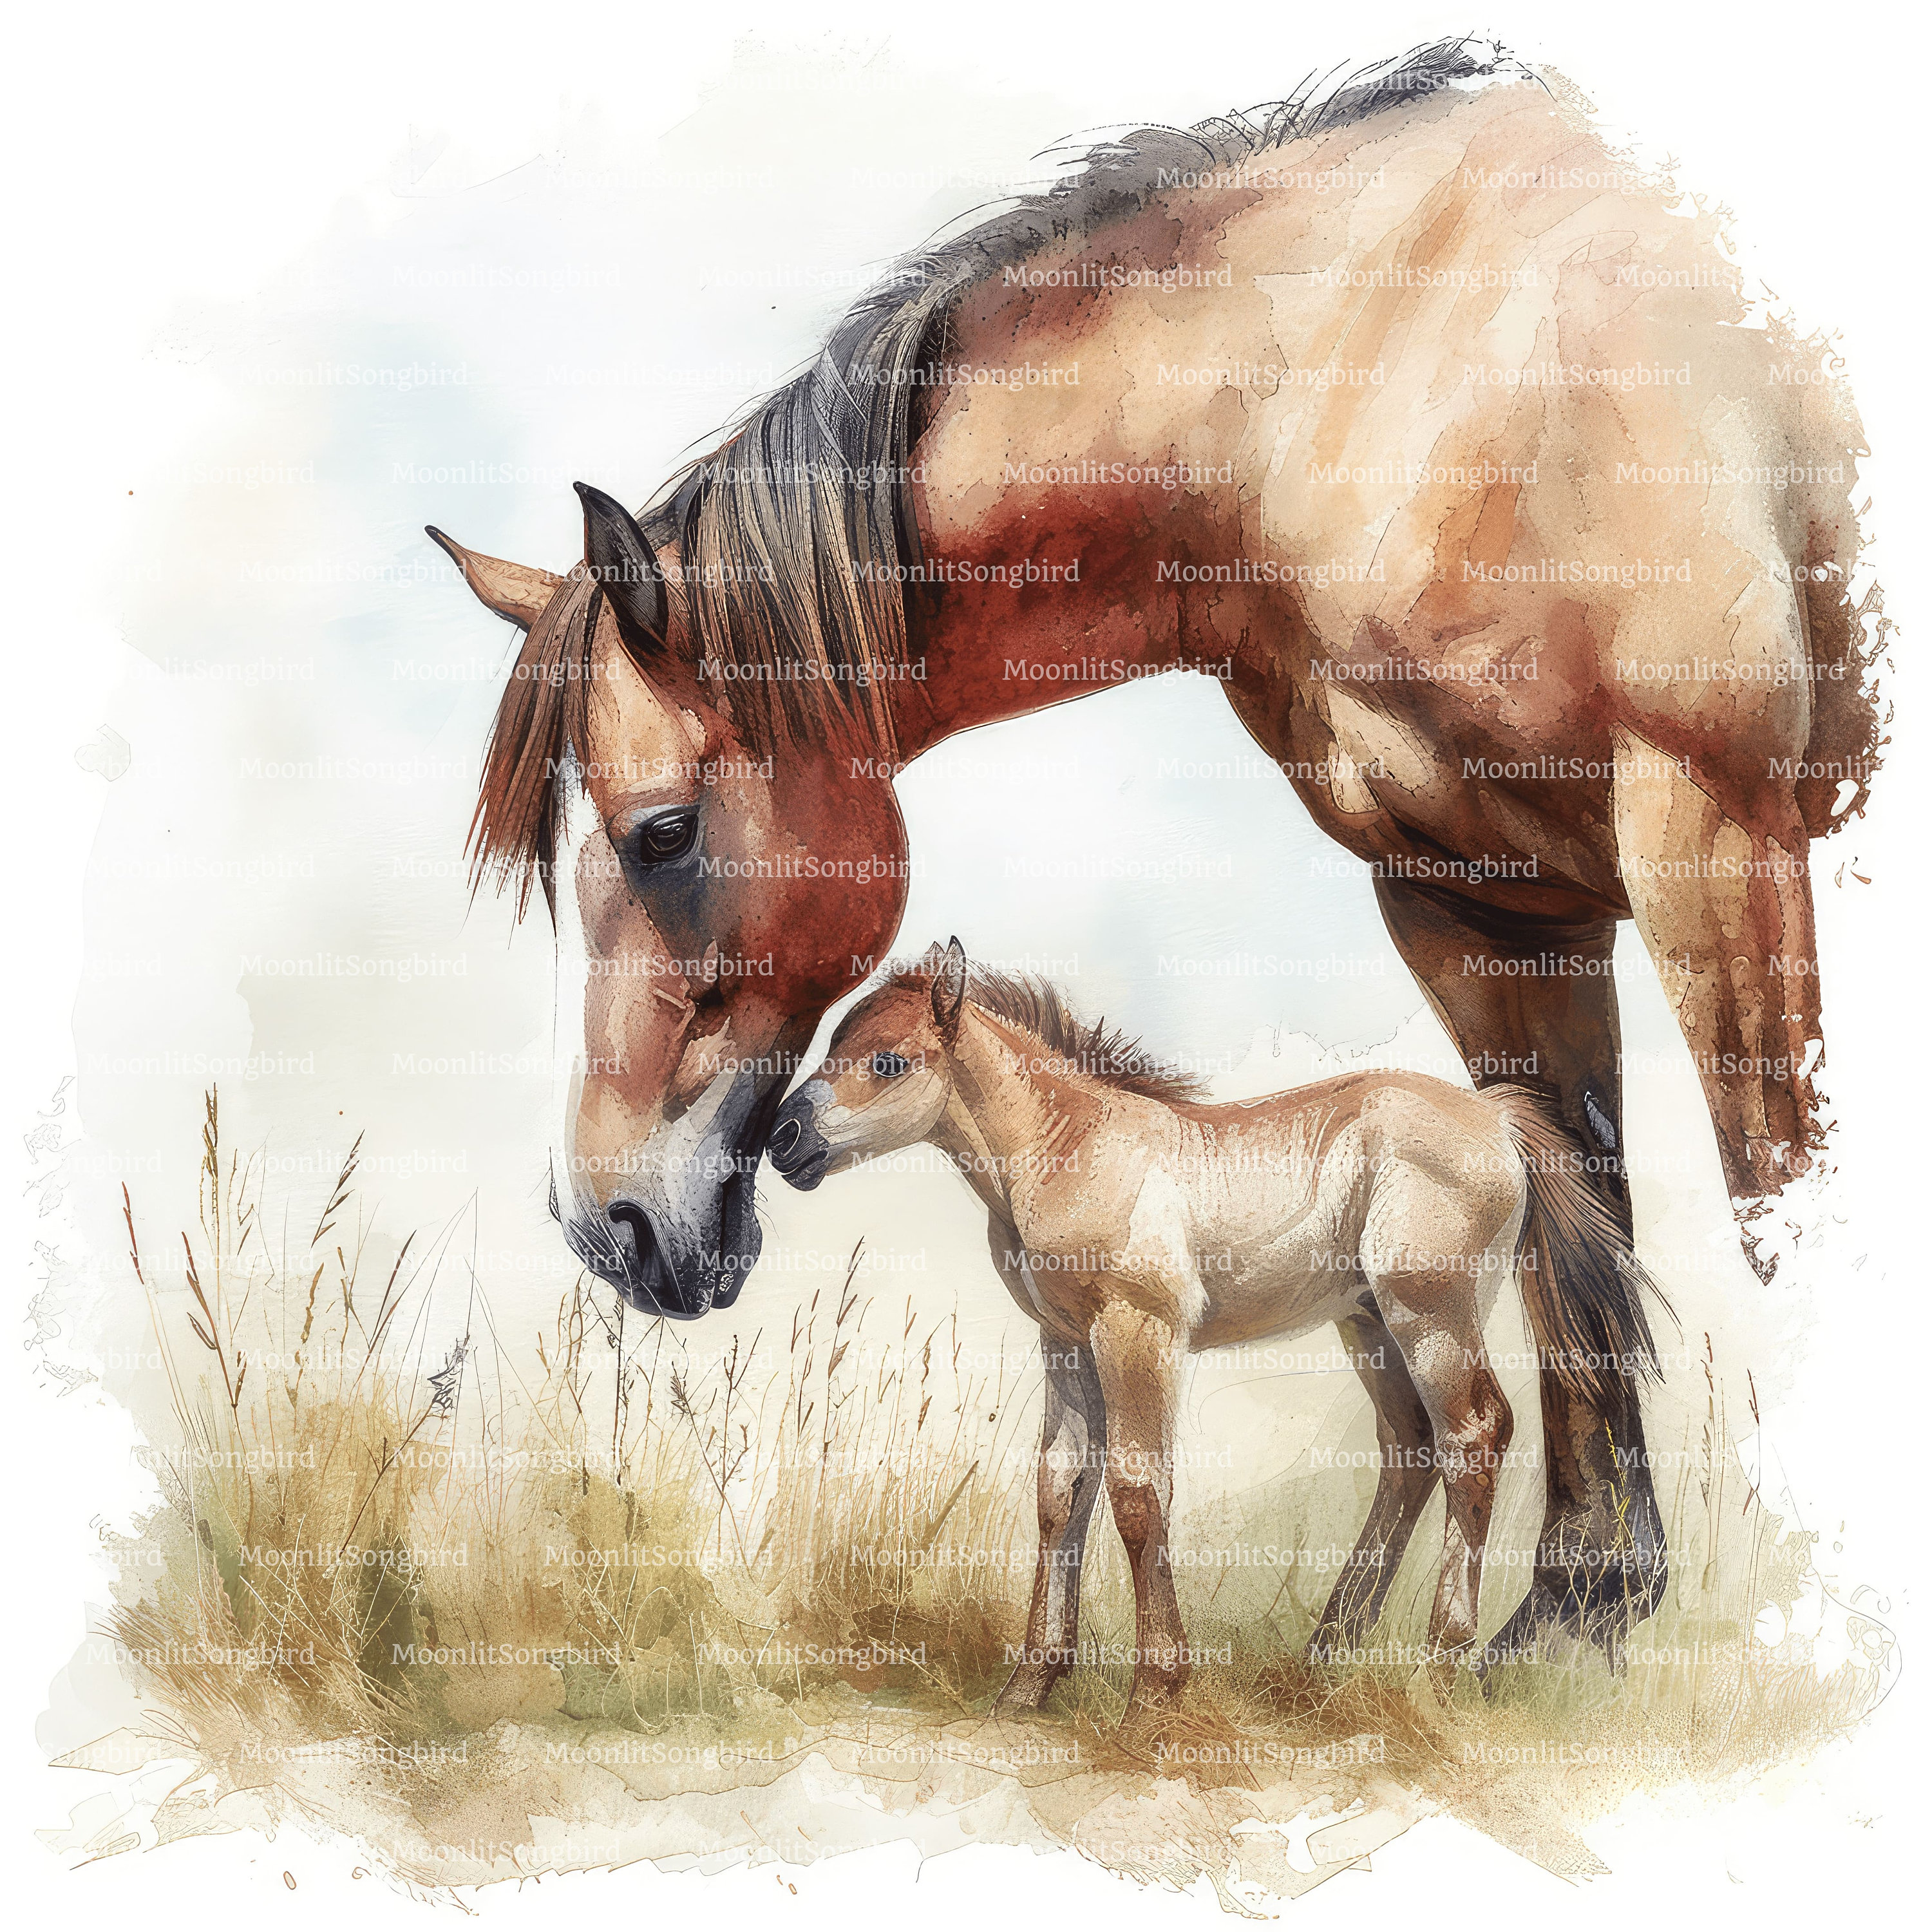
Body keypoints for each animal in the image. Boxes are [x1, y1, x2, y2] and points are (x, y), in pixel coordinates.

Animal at [764, 940, 1665, 1725]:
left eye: (889, 1061)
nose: (782, 1140)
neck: (1070, 1147)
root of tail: (1495, 1115)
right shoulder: (1065, 1341)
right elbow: (1060, 1491)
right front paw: (1028, 1689)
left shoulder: (1138, 1332)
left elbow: (1136, 1492)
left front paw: (1155, 1691)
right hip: (1368, 1321)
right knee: (1410, 1445)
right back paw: (1329, 1651)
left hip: (1430, 1315)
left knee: (1473, 1434)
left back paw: (1438, 1666)